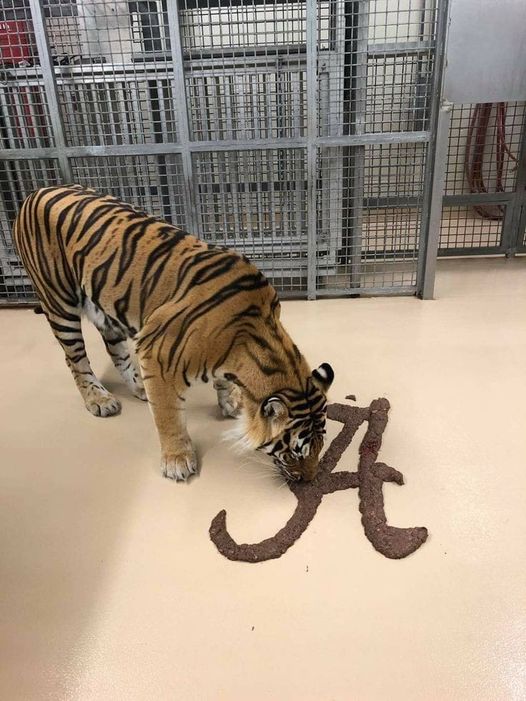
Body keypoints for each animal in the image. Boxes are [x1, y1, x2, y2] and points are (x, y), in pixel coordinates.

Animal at [14, 185, 334, 482]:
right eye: (294, 451)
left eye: (321, 444)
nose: (309, 480)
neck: (251, 337)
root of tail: (34, 192)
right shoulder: (156, 351)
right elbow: (169, 416)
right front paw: (177, 460)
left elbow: (219, 381)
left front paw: (230, 401)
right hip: (58, 302)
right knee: (75, 359)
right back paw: (100, 400)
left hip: (105, 308)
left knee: (116, 351)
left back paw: (140, 387)